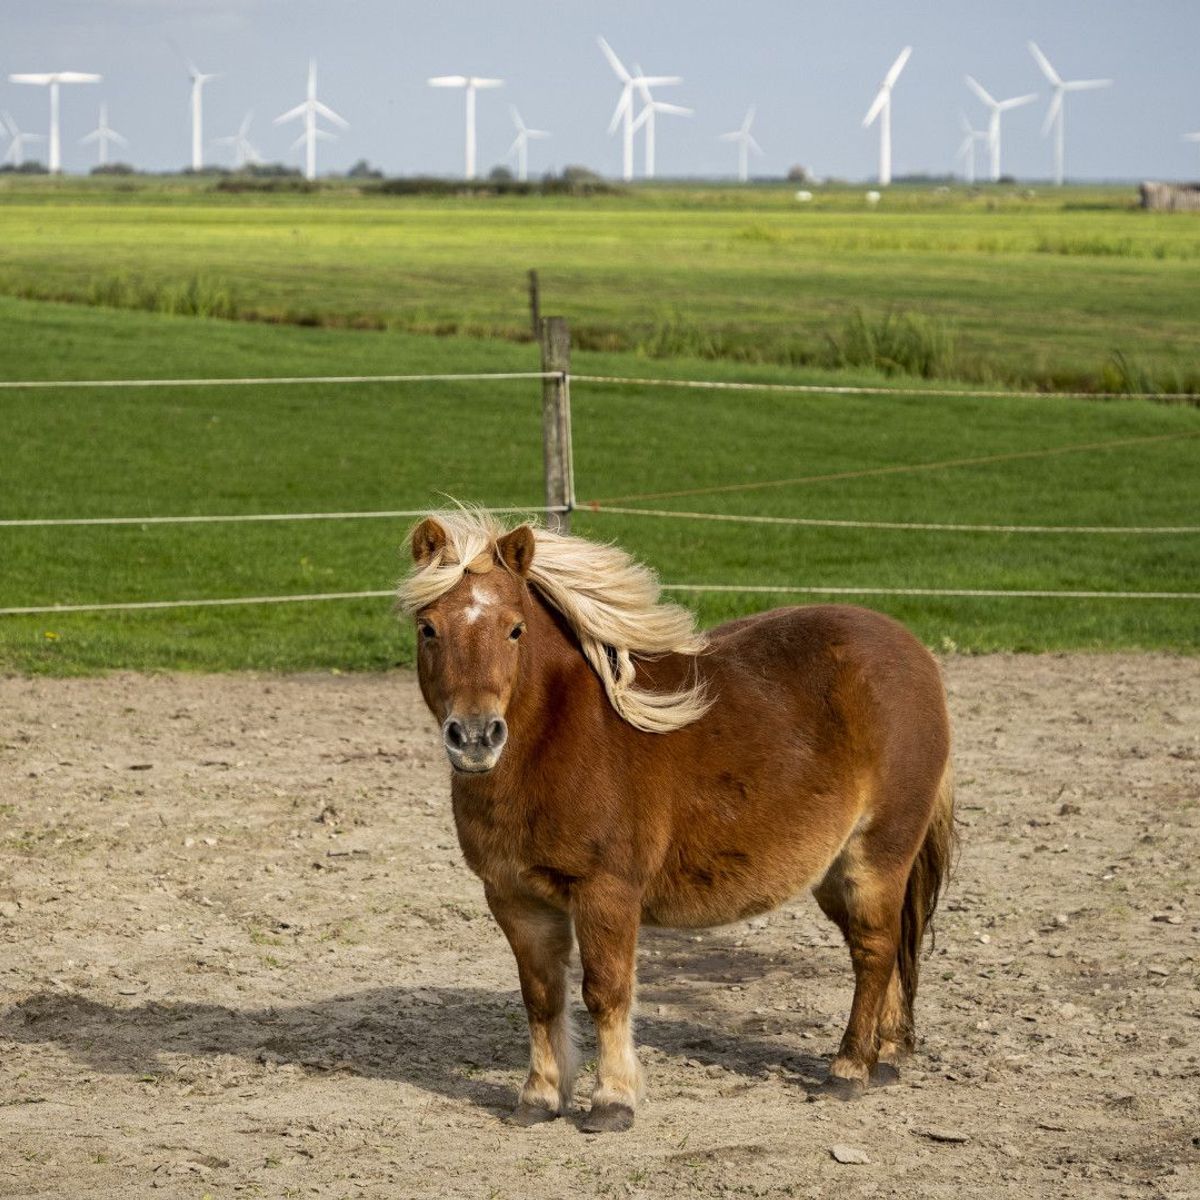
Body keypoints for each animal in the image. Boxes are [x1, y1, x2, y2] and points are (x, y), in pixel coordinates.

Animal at [398, 510, 955, 1134]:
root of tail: (912, 652)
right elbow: (541, 999)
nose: (475, 737)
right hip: (831, 873)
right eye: (429, 629)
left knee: (874, 950)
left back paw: (849, 1069)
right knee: (885, 950)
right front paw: (539, 1098)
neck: (558, 740)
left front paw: (612, 1101)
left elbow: (606, 992)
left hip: (876, 855)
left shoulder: (608, 891)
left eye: (515, 629)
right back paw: (886, 1058)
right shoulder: (516, 898)